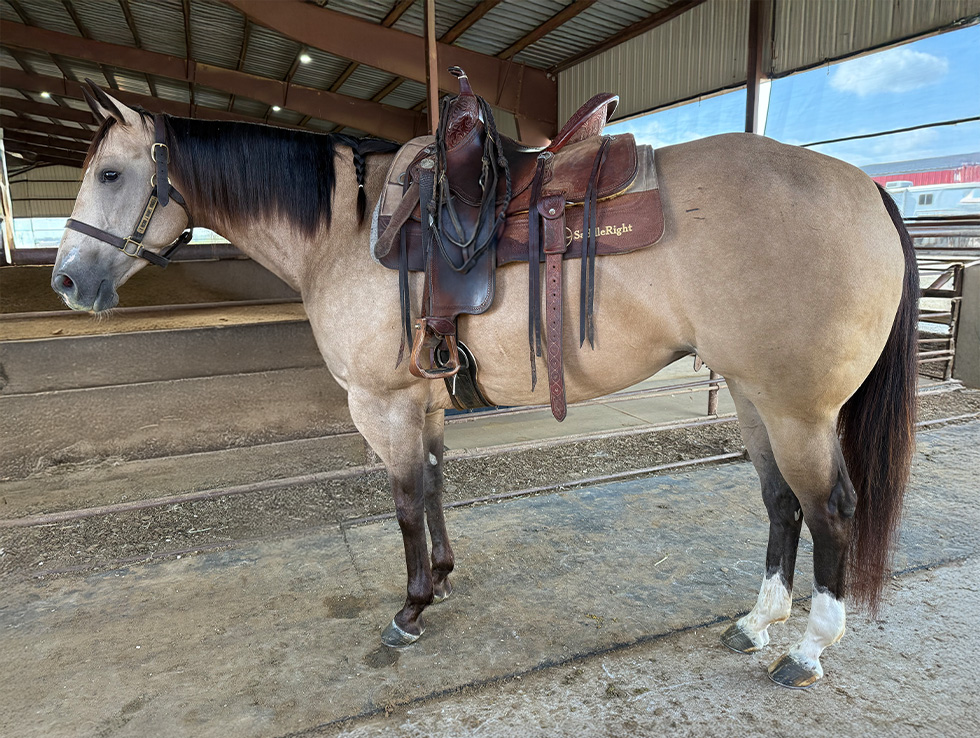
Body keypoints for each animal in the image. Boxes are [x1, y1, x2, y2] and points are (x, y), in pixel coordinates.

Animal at [51, 87, 917, 689]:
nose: (66, 281)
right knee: (780, 504)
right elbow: (436, 485)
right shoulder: (424, 402)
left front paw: (408, 610)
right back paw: (758, 623)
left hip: (798, 408)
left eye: (110, 172)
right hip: (748, 393)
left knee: (831, 511)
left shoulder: (383, 404)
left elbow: (405, 500)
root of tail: (864, 186)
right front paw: (439, 578)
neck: (344, 233)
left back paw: (806, 650)